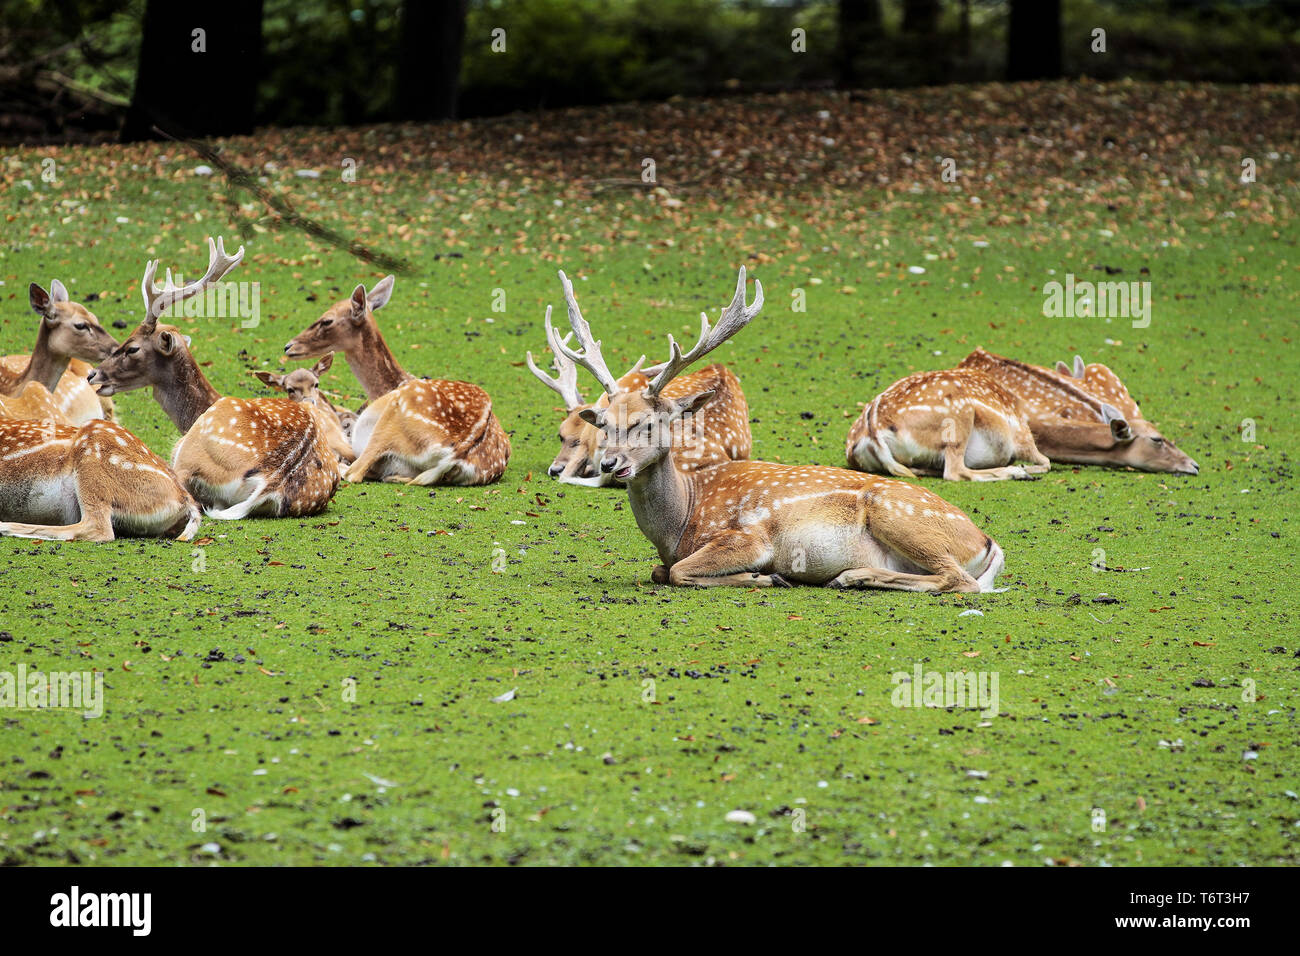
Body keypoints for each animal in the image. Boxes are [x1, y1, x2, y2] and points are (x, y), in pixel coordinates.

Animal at [560, 266, 1005, 593]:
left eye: (649, 423)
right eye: (603, 424)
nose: (610, 464)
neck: (681, 524)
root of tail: (987, 543)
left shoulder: (748, 536)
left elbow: (677, 572)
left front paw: (767, 575)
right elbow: (660, 570)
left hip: (899, 515)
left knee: (958, 580)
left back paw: (848, 576)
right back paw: (850, 576)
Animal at [845, 368, 1051, 481]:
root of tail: (873, 430)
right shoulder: (1022, 437)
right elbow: (1046, 462)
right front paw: (1024, 469)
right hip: (960, 417)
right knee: (955, 471)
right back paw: (1016, 472)